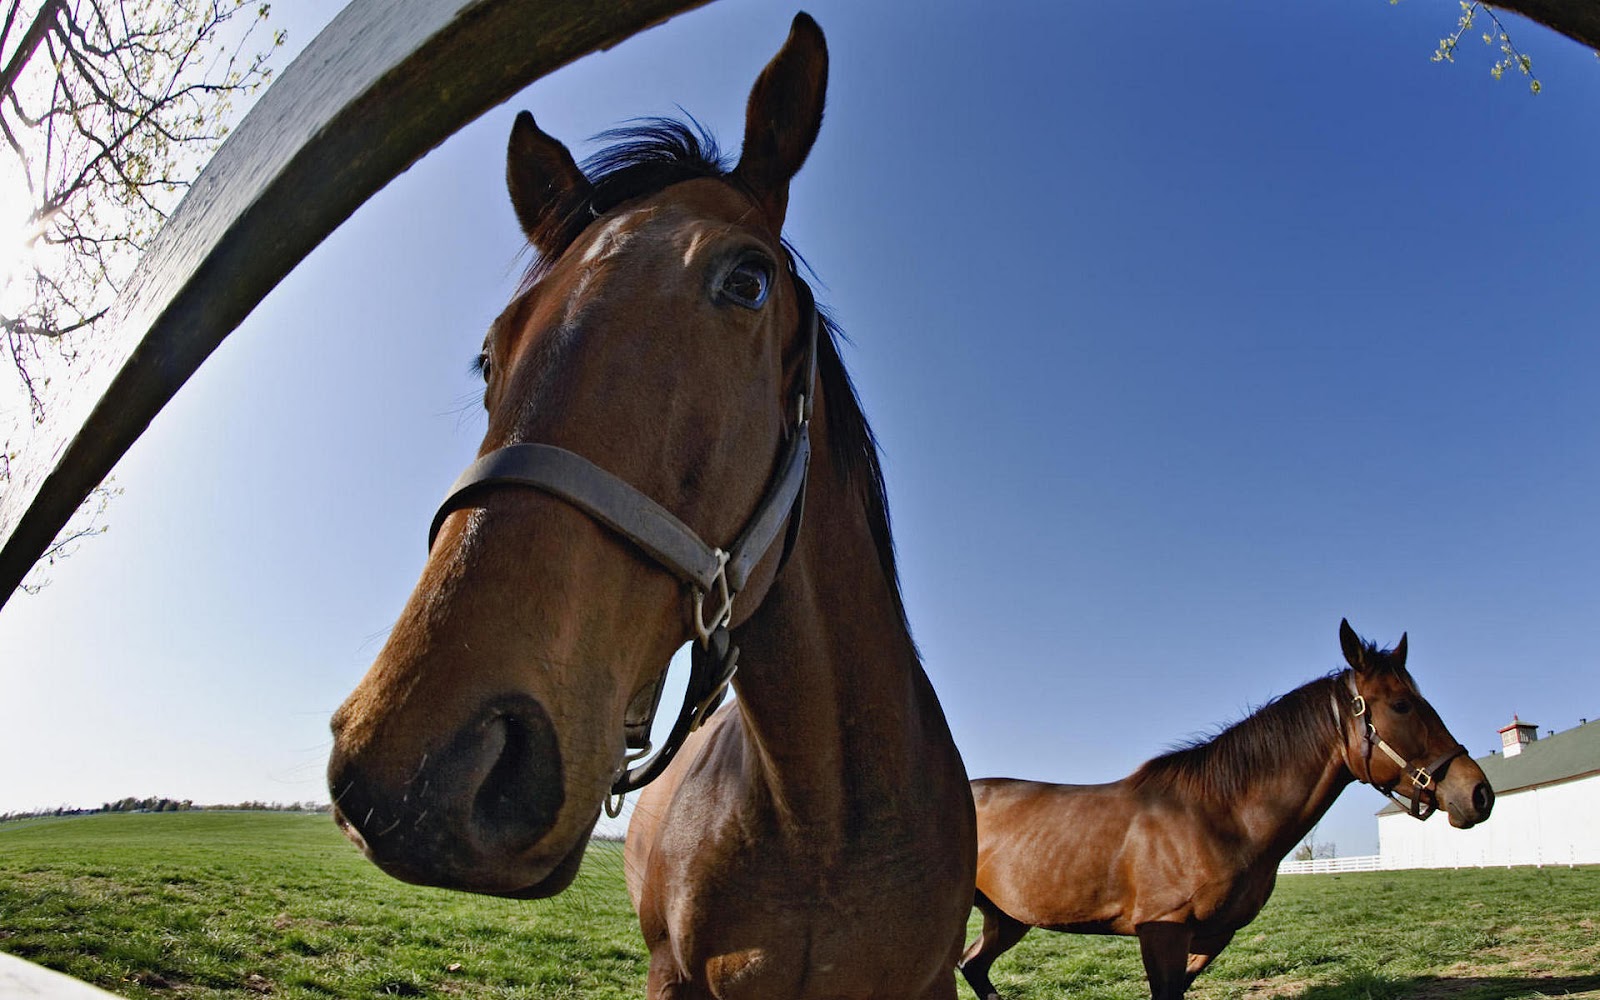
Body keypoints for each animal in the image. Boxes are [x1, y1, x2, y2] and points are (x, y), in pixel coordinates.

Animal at [959, 619, 1494, 1000]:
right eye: (1402, 705)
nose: (1478, 794)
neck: (1218, 817)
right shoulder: (1163, 933)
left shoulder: (1211, 938)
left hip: (1007, 918)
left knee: (973, 966)